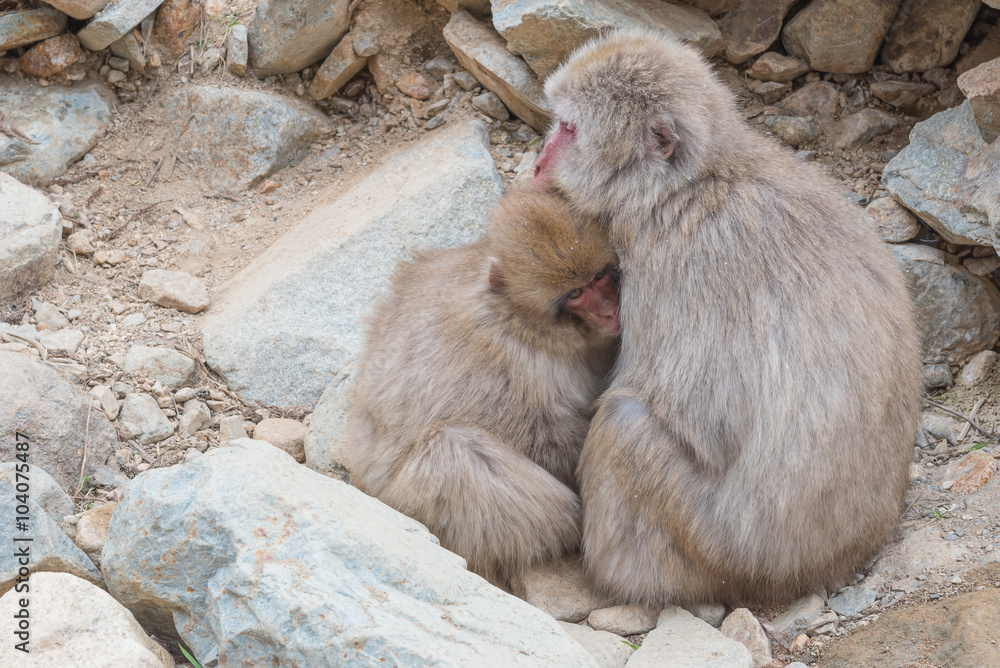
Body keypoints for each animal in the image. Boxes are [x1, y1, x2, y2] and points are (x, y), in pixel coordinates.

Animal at [342, 185, 621, 584]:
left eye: (599, 277)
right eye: (575, 294)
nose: (610, 310)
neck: (518, 317)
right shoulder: (509, 363)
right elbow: (544, 438)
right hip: (412, 507)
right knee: (450, 451)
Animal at [533, 29, 923, 605]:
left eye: (568, 129)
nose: (537, 165)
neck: (691, 182)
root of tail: (818, 568)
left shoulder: (672, 264)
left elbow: (705, 418)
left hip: (713, 551)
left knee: (626, 422)